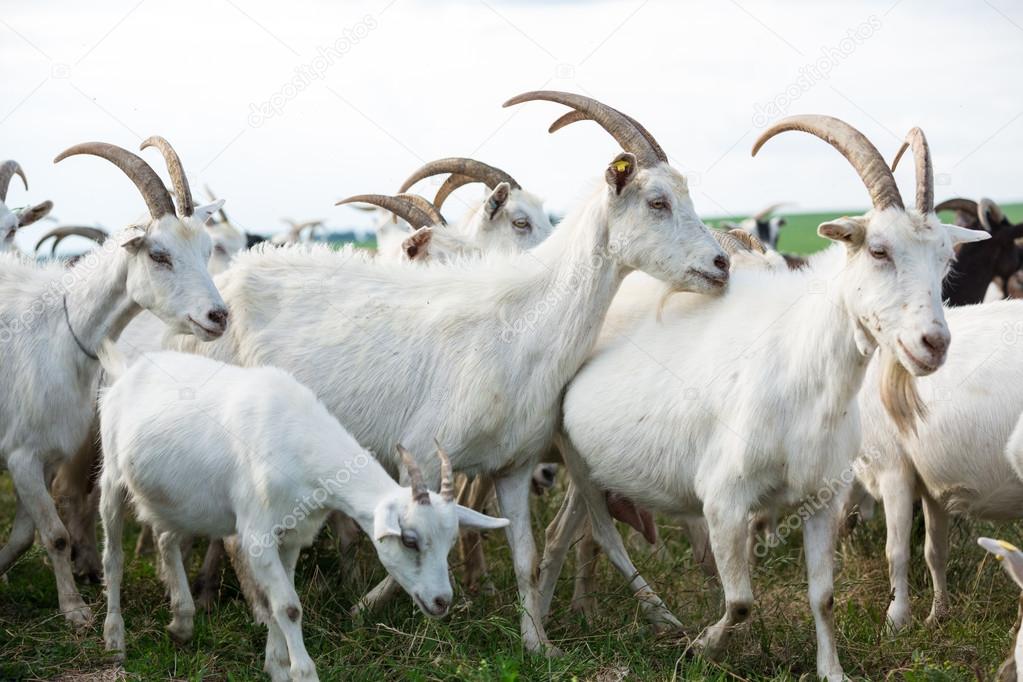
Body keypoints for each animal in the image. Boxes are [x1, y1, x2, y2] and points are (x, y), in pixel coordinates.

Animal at [0, 138, 228, 626]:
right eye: (158, 255)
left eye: (206, 250)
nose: (218, 316)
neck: (59, 333)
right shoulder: (21, 455)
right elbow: (55, 534)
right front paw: (75, 611)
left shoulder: (44, 458)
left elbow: (27, 535)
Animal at [96, 345, 506, 681]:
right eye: (409, 540)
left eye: (450, 541)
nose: (442, 602)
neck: (299, 442)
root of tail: (129, 369)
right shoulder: (257, 534)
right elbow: (288, 606)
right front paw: (302, 672)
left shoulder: (291, 534)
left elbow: (282, 601)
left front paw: (276, 665)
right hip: (112, 476)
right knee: (113, 557)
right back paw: (115, 639)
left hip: (181, 502)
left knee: (166, 537)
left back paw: (181, 623)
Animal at [170, 90, 731, 654]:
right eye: (657, 201)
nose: (722, 264)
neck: (519, 327)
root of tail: (223, 288)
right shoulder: (419, 452)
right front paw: (365, 608)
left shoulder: (515, 466)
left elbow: (526, 559)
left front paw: (537, 644)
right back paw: (251, 613)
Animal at [536, 120, 986, 680]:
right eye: (878, 250)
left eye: (946, 260)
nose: (934, 343)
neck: (801, 372)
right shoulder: (724, 501)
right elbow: (741, 601)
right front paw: (704, 647)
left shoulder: (822, 499)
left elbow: (823, 596)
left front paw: (831, 670)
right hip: (576, 458)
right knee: (592, 533)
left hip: (593, 467)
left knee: (563, 533)